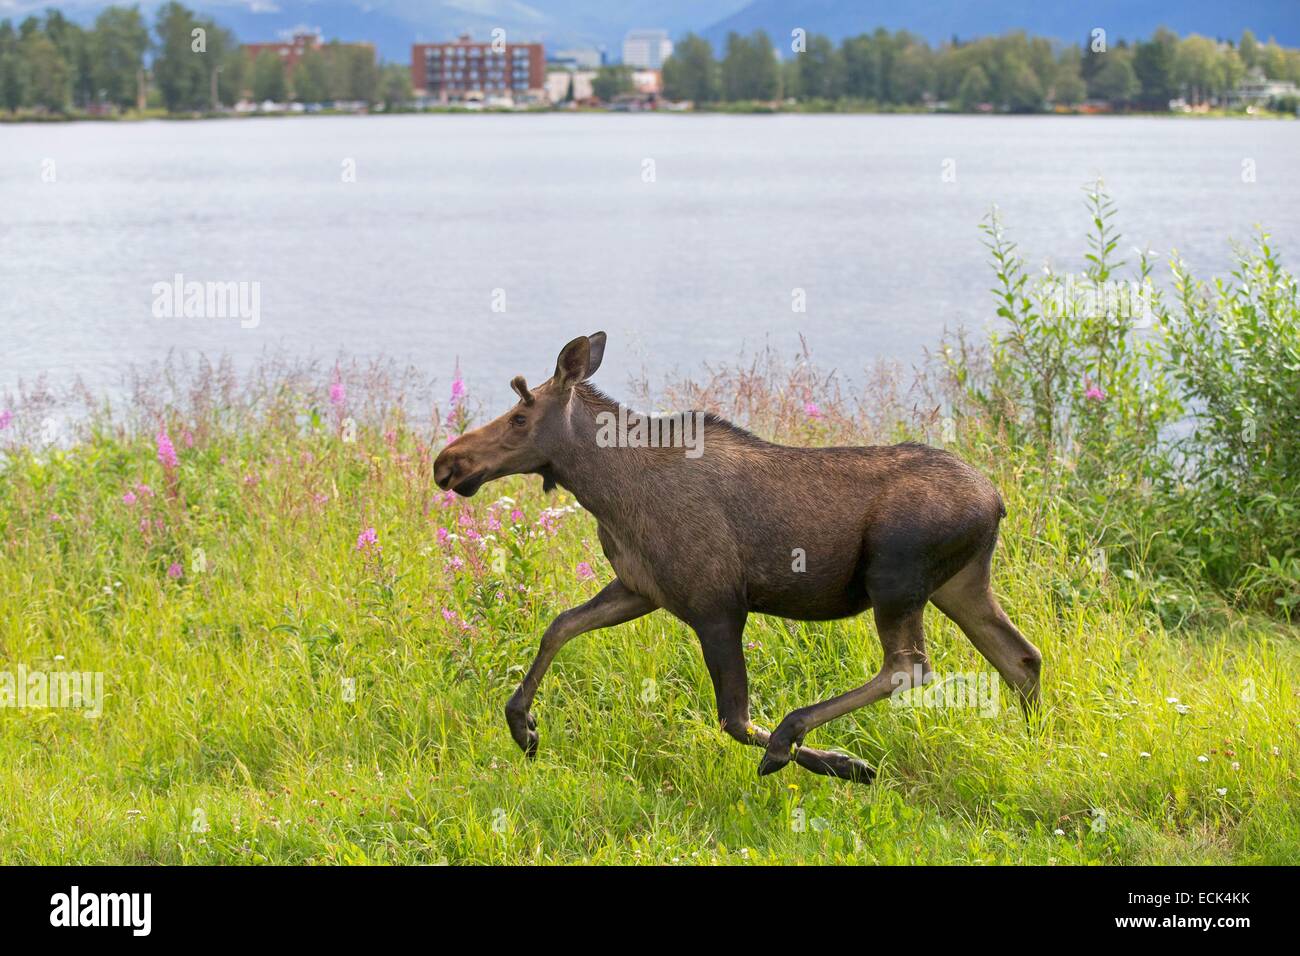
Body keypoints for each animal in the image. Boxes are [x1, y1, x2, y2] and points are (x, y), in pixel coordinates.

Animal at [433, 332, 1042, 784]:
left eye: (519, 417)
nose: (447, 462)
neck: (606, 493)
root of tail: (997, 502)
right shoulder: (641, 588)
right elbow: (560, 625)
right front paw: (523, 726)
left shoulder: (717, 604)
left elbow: (734, 719)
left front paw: (841, 762)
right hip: (959, 584)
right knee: (1021, 657)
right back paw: (1035, 743)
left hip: (895, 580)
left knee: (908, 667)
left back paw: (794, 733)